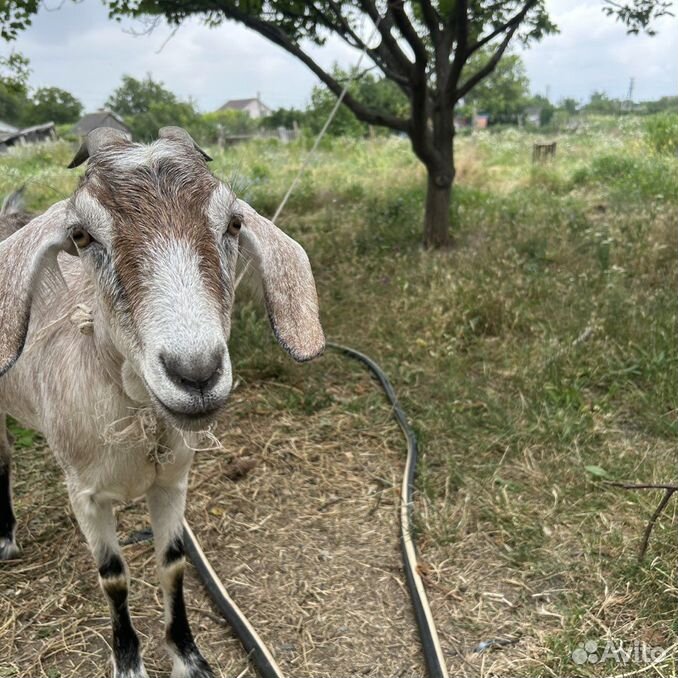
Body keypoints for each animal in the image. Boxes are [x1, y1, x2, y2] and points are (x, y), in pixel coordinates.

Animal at [0, 126, 324, 678]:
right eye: (81, 236)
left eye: (233, 222)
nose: (195, 372)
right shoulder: (84, 495)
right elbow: (113, 575)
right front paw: (129, 662)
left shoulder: (173, 482)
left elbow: (172, 563)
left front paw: (188, 657)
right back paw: (5, 536)